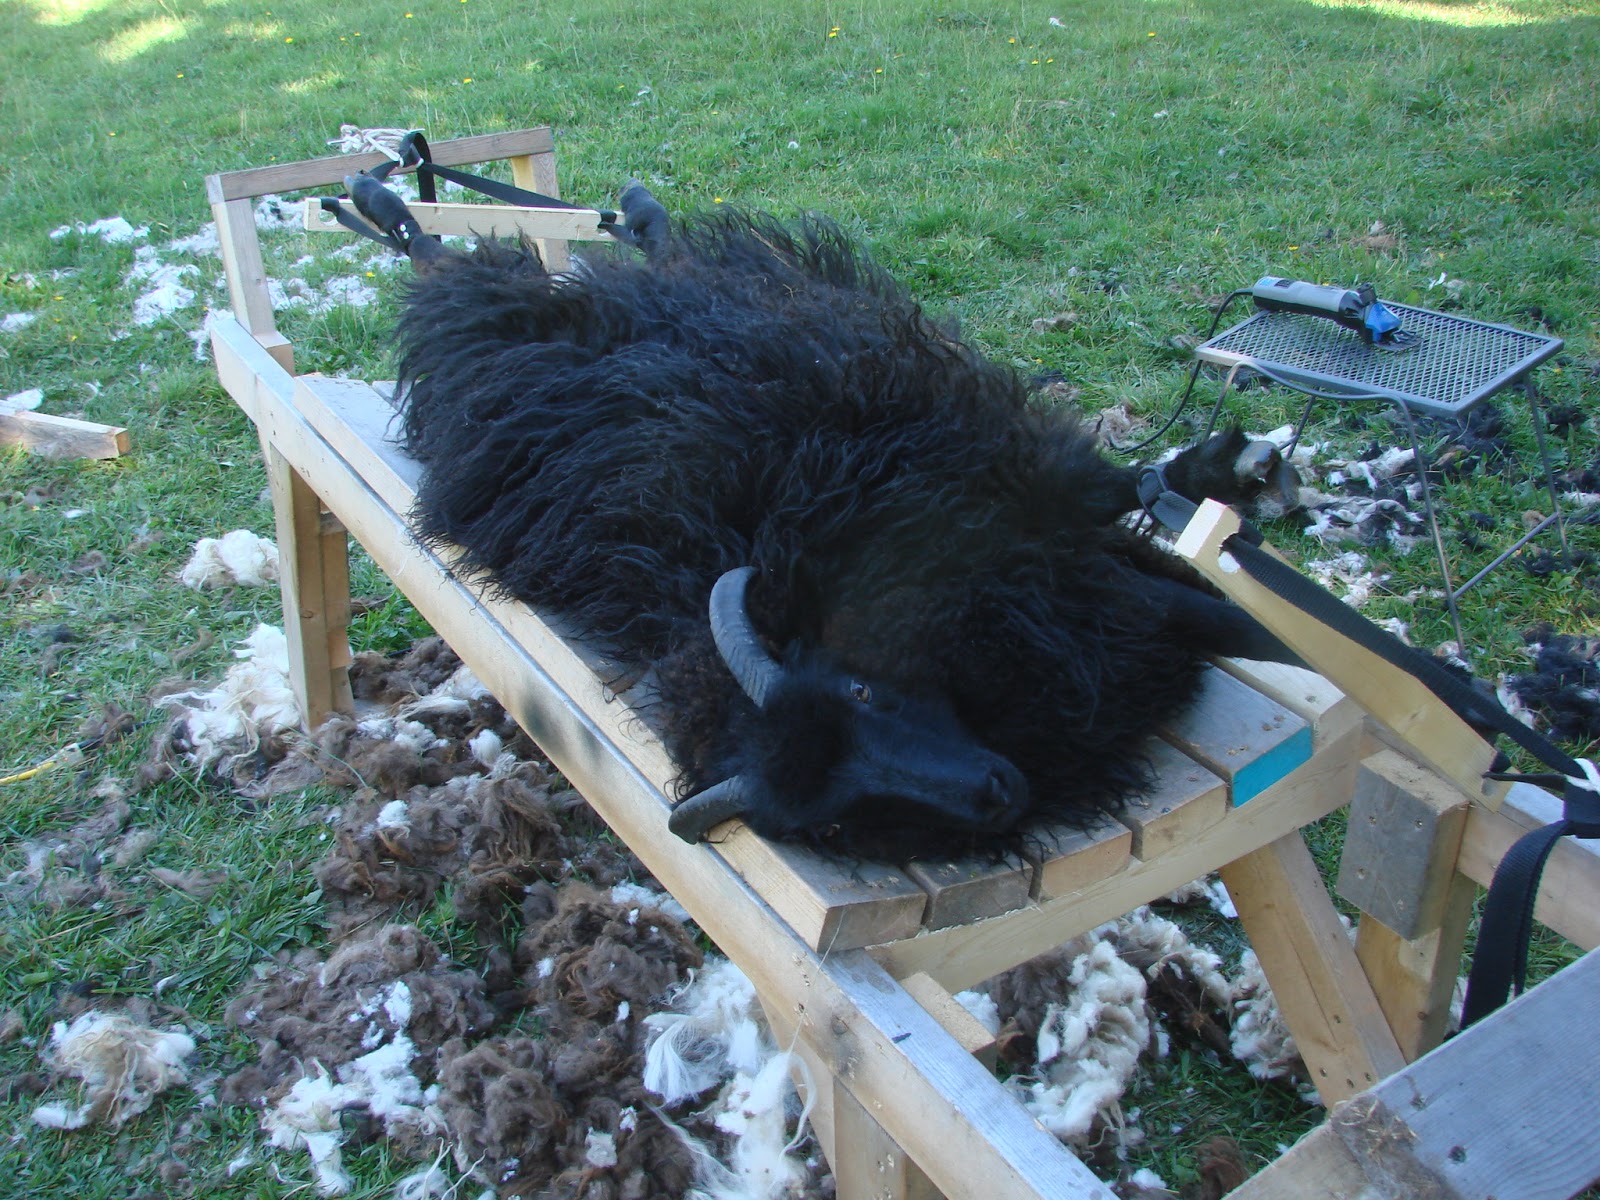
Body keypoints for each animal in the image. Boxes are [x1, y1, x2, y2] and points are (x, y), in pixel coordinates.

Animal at [345, 175, 1301, 859]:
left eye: (860, 691)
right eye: (832, 821)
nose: (994, 794)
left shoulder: (986, 488)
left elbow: (1139, 512)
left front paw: (1222, 469)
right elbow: (1226, 624)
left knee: (489, 252)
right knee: (439, 253)